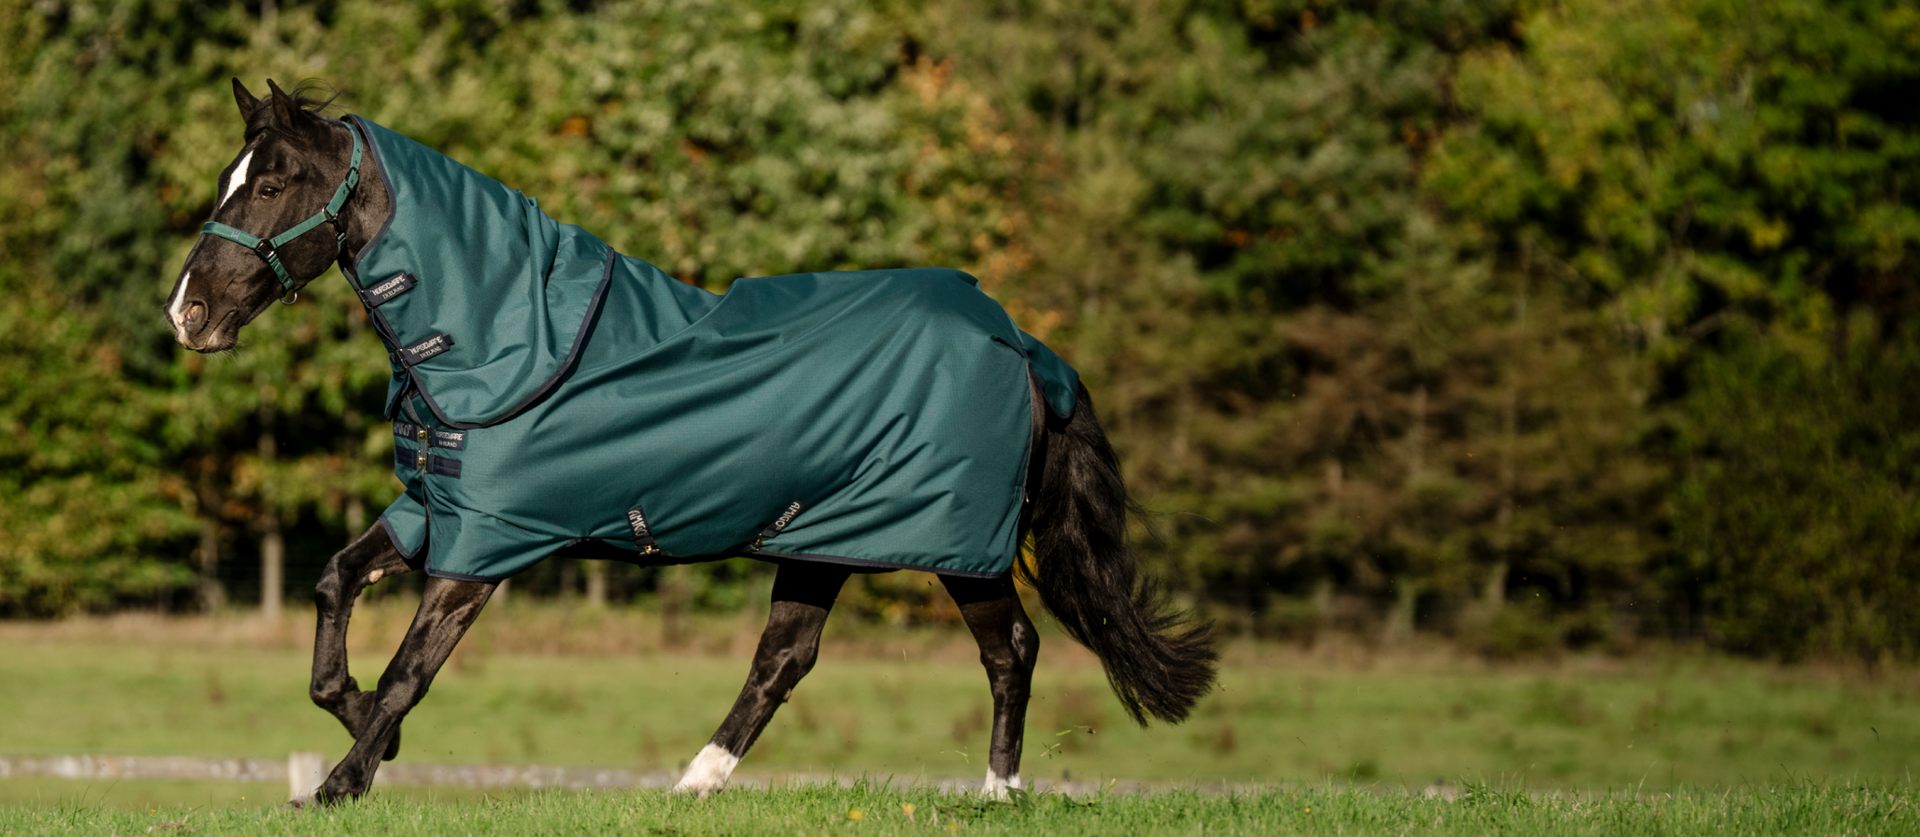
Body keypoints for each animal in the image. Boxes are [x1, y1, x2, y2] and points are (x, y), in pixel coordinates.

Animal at [164, 78, 1217, 805]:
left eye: (273, 182)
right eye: (230, 179)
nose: (188, 313)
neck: (505, 333)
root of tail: (1021, 342)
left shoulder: (484, 546)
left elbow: (406, 673)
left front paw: (342, 781)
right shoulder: (435, 511)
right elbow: (333, 589)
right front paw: (356, 730)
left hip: (956, 543)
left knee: (1013, 650)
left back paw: (997, 793)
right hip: (823, 538)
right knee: (784, 658)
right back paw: (694, 784)